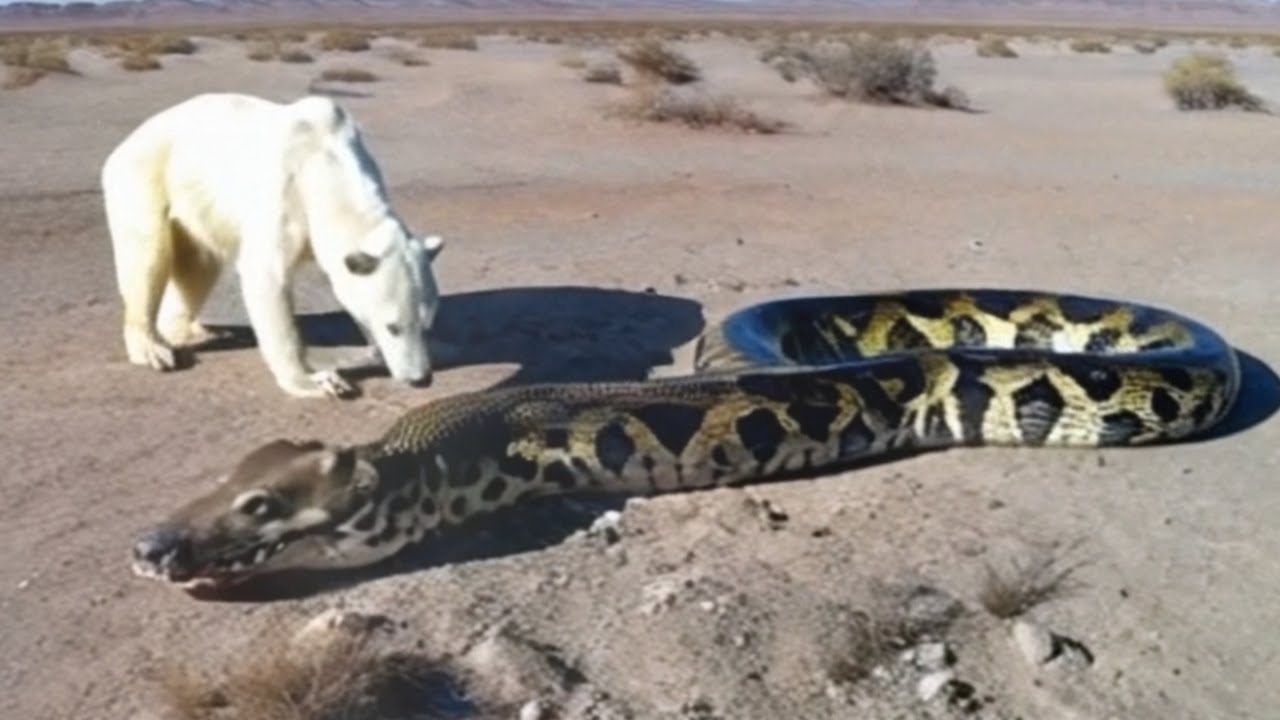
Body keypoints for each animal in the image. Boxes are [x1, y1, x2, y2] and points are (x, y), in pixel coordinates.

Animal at [100, 92, 445, 399]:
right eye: (393, 326)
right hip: (146, 177)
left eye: (427, 325)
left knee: (199, 264)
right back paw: (152, 350)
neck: (327, 160)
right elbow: (267, 278)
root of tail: (125, 144)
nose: (420, 379)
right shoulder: (284, 196)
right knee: (147, 255)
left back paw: (198, 331)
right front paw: (319, 381)